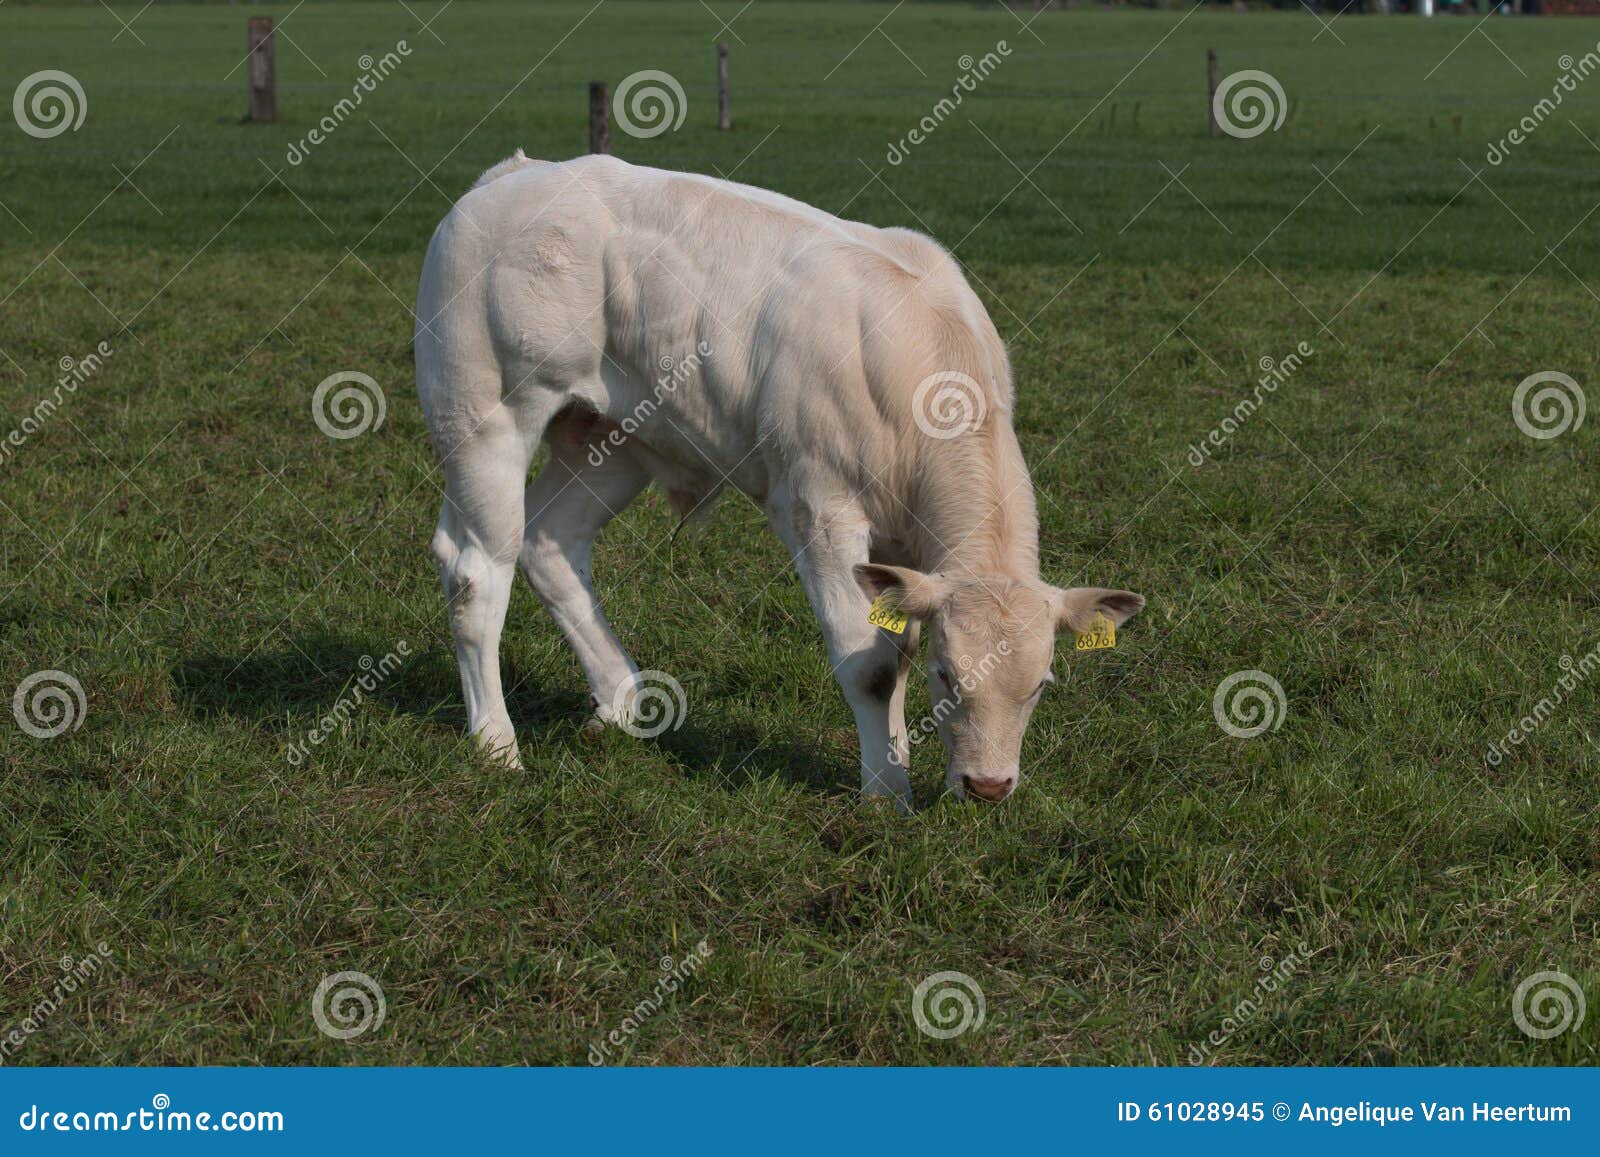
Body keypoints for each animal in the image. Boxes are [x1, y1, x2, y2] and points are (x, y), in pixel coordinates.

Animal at [415, 151, 1144, 810]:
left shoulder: (907, 552)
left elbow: (897, 645)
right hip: (488, 417)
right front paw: (886, 795)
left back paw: (621, 702)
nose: (989, 787)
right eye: (949, 675)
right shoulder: (819, 507)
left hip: (610, 439)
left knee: (550, 542)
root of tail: (515, 174)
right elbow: (873, 665)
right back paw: (496, 743)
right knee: (477, 570)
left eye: (1041, 683)